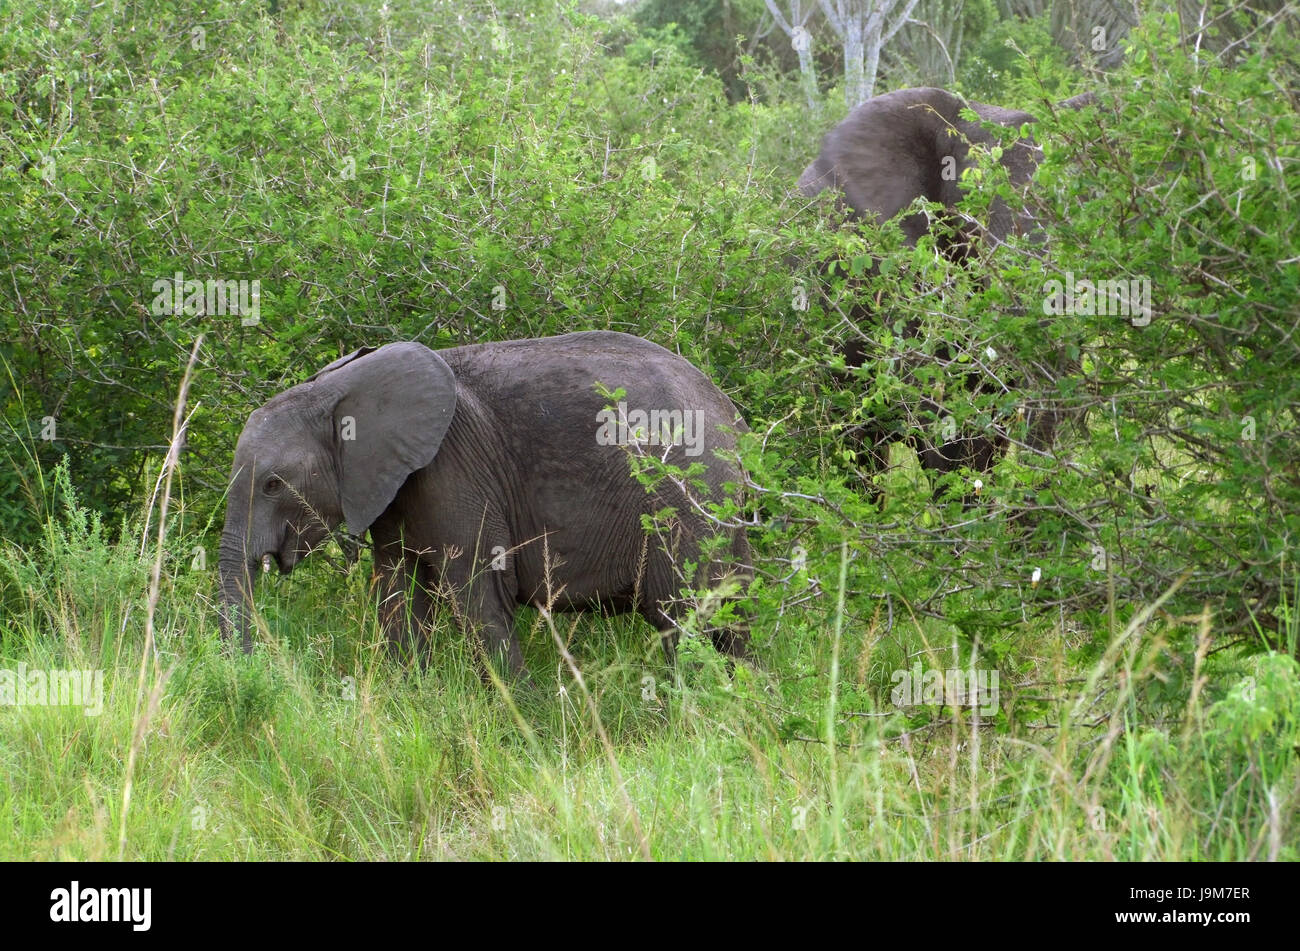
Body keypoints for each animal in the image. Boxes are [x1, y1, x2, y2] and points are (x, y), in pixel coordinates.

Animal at [217, 331, 753, 681]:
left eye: (272, 484)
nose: (247, 673)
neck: (335, 389)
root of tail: (732, 417)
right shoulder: (394, 488)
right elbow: (397, 592)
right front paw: (411, 695)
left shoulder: (453, 471)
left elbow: (478, 595)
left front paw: (526, 720)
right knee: (733, 613)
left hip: (685, 502)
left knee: (681, 617)